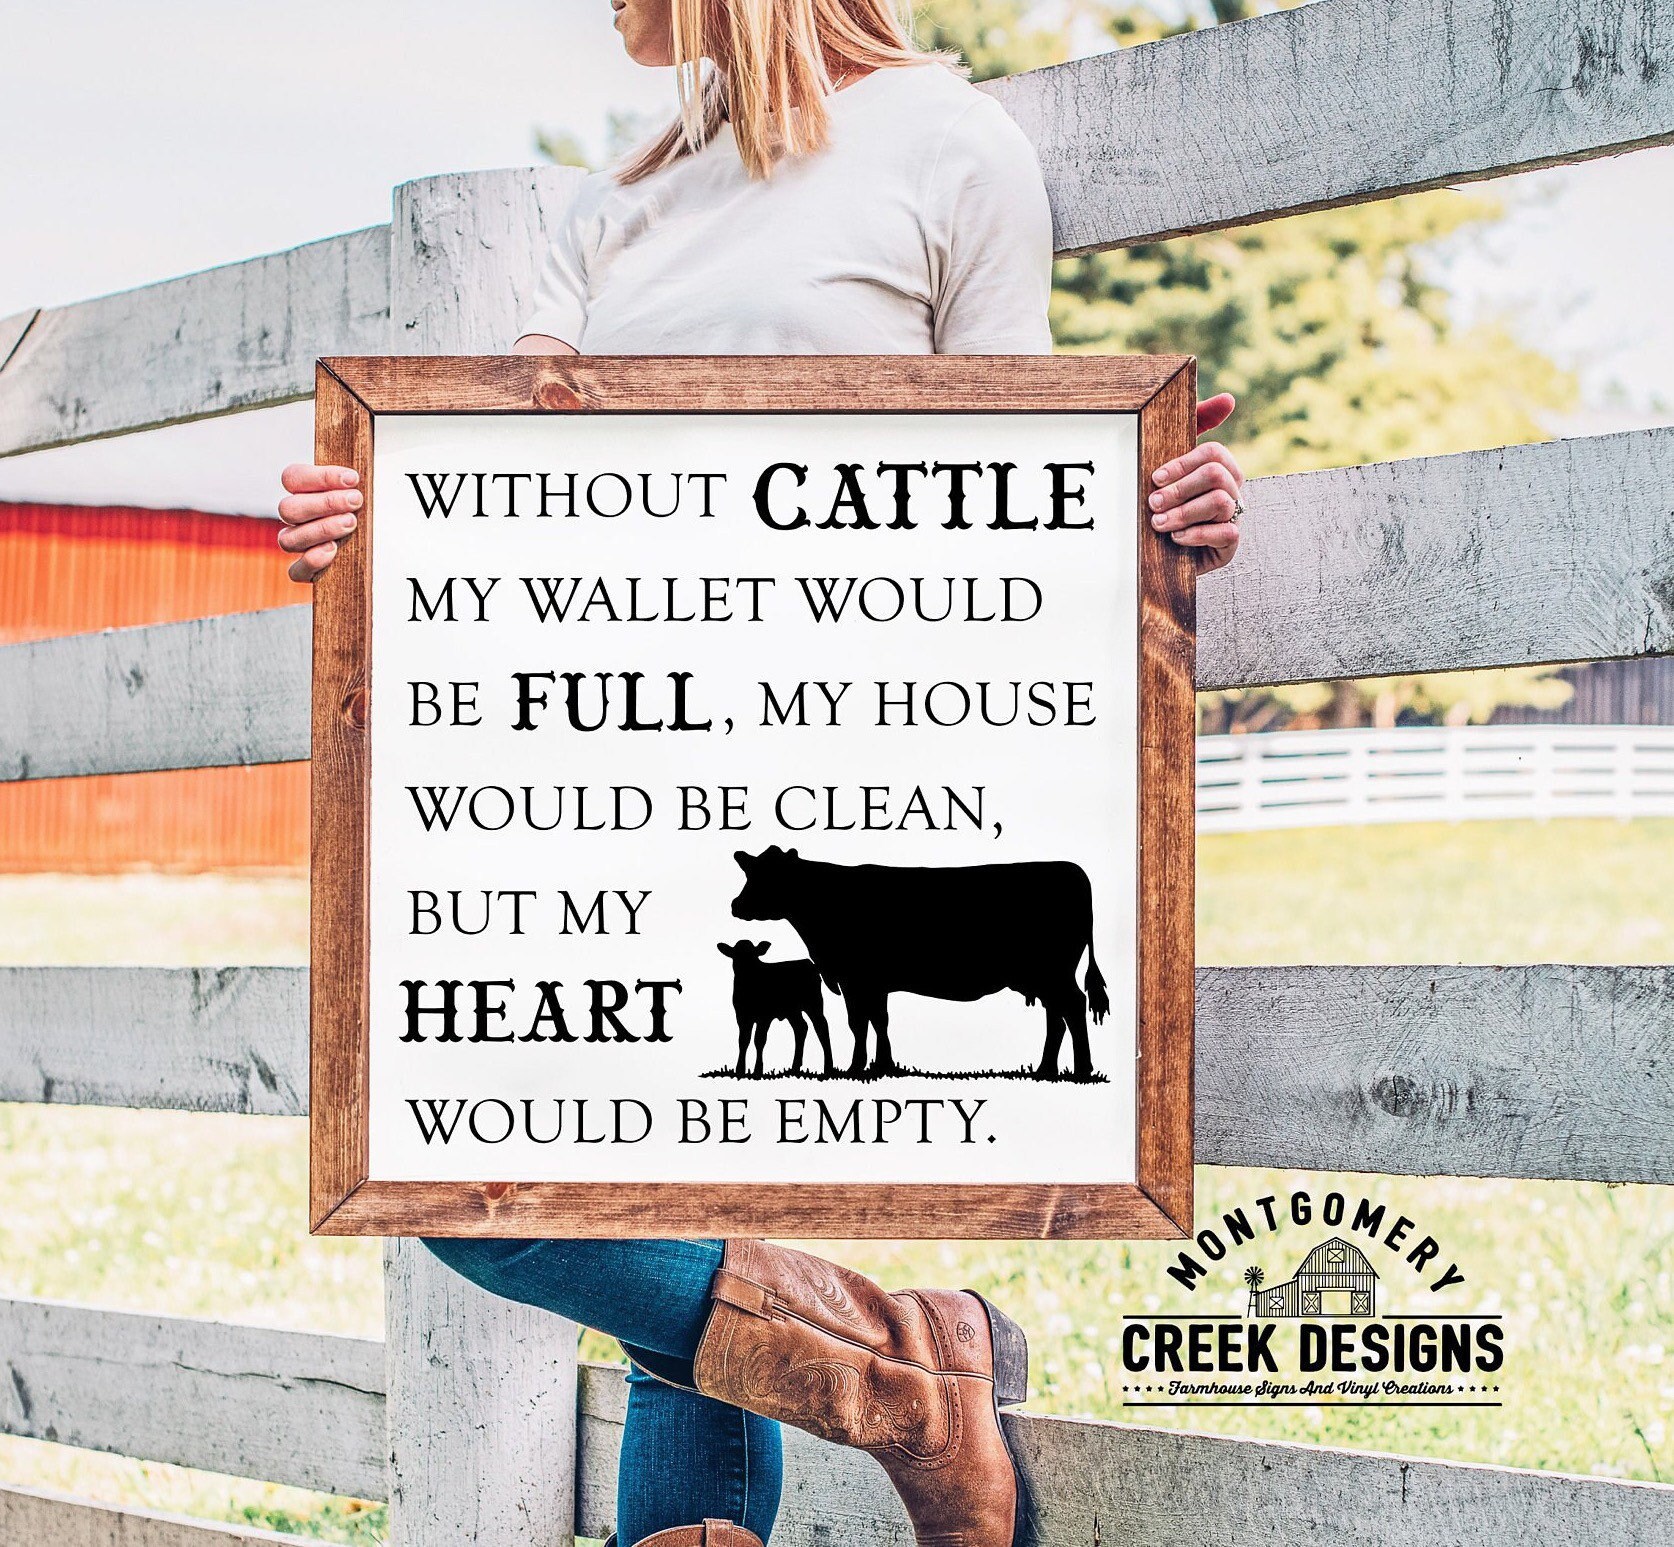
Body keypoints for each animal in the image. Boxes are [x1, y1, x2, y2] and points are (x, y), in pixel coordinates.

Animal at [716, 939, 835, 1078]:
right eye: (736, 955)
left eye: (753, 956)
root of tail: (807, 962)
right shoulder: (741, 1016)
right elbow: (743, 1040)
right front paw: (740, 1070)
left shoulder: (764, 1017)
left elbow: (759, 1040)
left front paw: (758, 1070)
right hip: (792, 1011)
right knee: (801, 1027)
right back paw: (795, 1067)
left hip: (813, 1003)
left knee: (821, 1026)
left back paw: (828, 1067)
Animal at [730, 846, 1109, 1080]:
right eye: (750, 873)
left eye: (767, 877)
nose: (736, 905)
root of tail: (1073, 870)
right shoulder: (875, 983)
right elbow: (879, 1020)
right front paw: (882, 1065)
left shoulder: (855, 978)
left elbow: (859, 1022)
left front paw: (855, 1068)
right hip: (1042, 975)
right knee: (1056, 1014)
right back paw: (1046, 1070)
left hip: (1053, 971)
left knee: (1073, 1007)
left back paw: (1082, 1069)